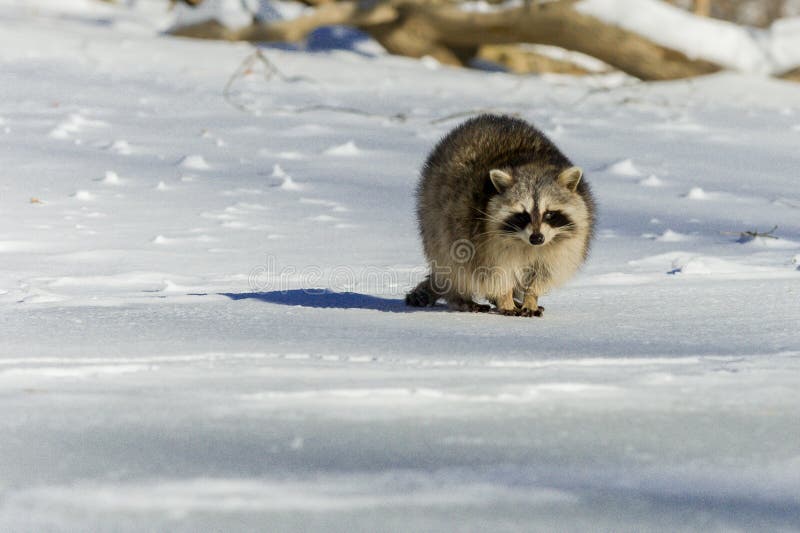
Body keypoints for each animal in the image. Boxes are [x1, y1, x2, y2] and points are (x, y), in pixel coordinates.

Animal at [406, 114, 596, 316]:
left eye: (550, 214)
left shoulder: (563, 246)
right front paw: (505, 299)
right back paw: (461, 299)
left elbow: (542, 274)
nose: (537, 238)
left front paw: (531, 298)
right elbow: (496, 274)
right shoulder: (481, 240)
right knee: (453, 265)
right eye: (523, 215)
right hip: (435, 220)